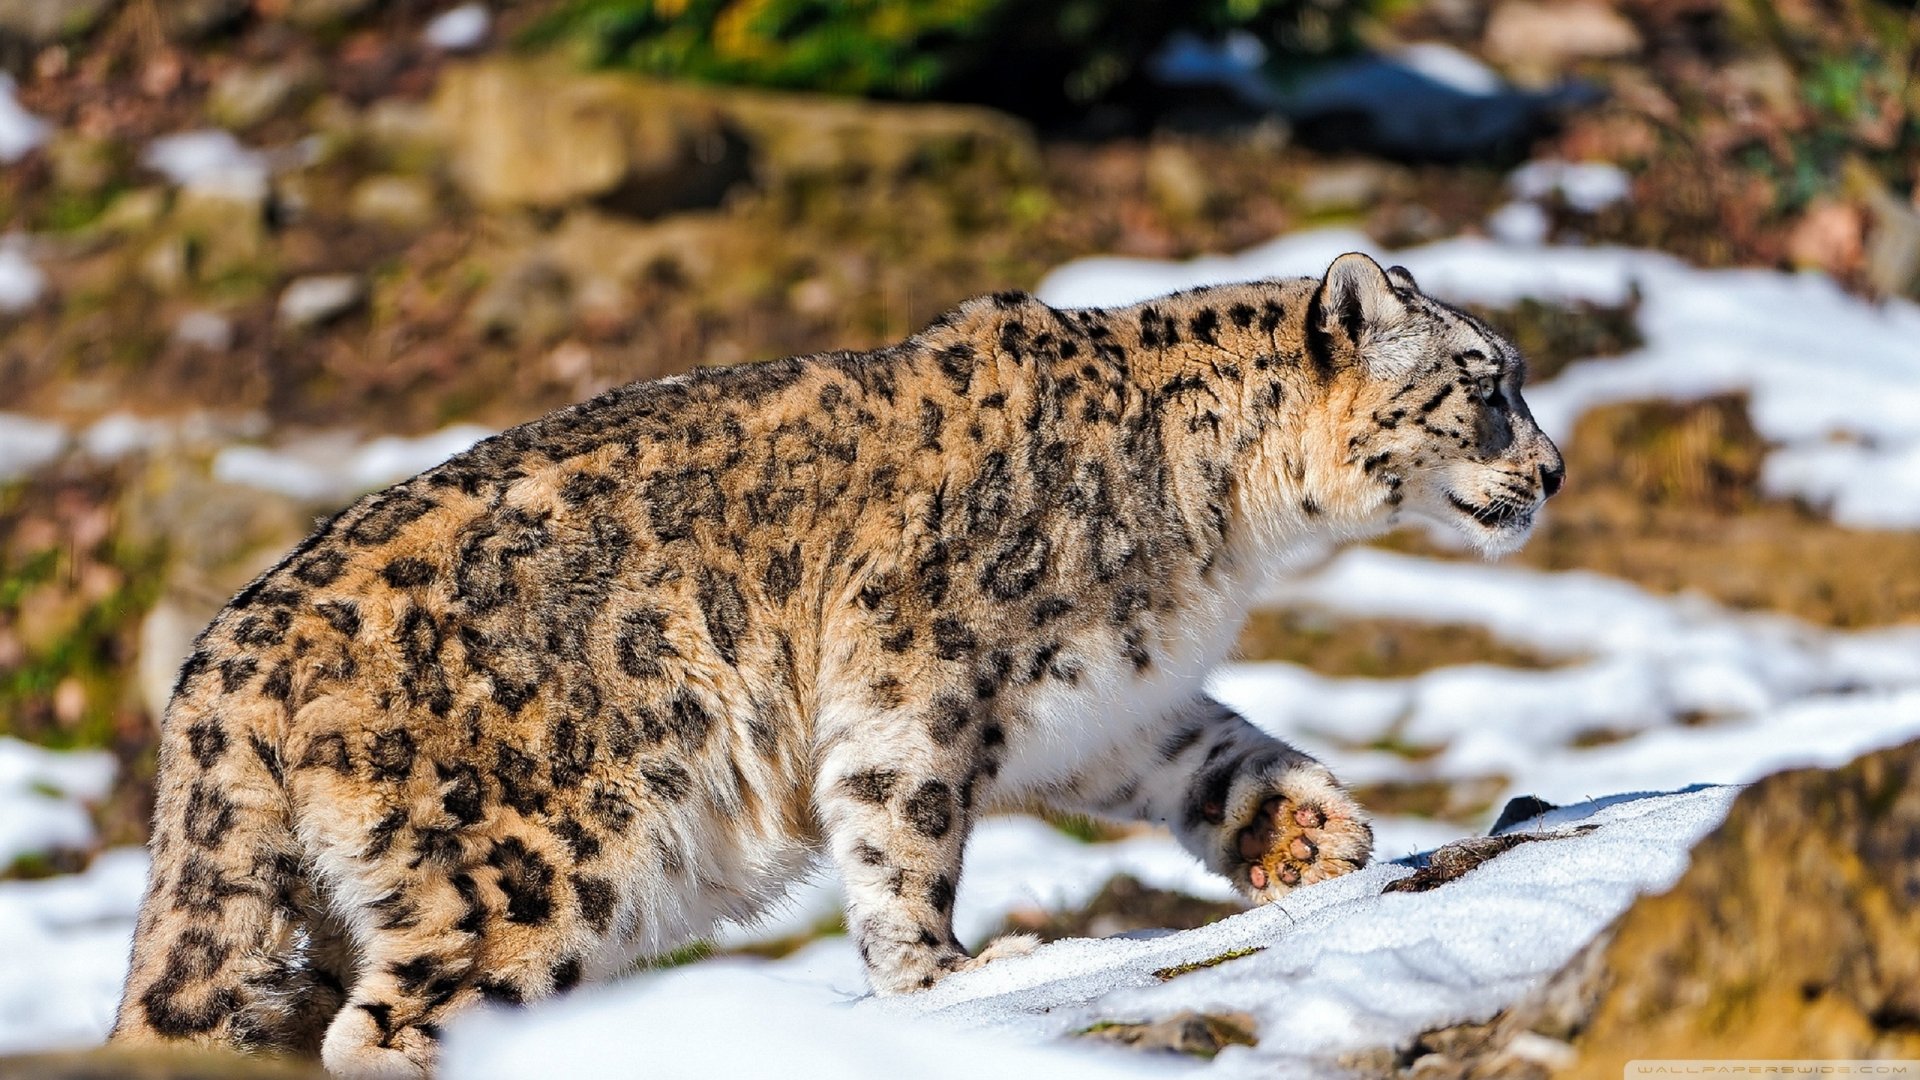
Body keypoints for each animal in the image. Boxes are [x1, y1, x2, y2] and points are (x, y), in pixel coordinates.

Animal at [109, 252, 1563, 1077]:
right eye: (1486, 381)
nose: (1552, 470)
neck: (1222, 535)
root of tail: (221, 661)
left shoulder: (1104, 699)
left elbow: (1207, 747)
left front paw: (1308, 833)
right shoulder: (919, 676)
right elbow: (902, 829)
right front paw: (950, 976)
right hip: (543, 866)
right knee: (396, 1024)